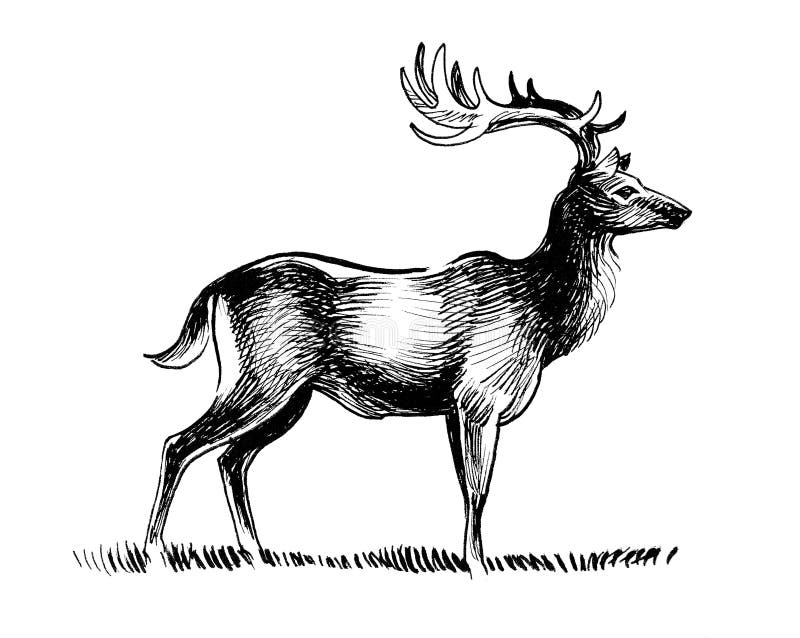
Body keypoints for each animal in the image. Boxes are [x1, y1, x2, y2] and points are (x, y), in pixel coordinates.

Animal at [143, 43, 691, 574]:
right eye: (622, 189)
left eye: (640, 179)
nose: (682, 210)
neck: (542, 315)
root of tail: (213, 291)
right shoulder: (477, 397)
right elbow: (477, 489)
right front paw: (477, 564)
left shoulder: (458, 406)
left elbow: (470, 487)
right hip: (262, 371)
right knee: (180, 443)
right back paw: (152, 550)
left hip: (291, 393)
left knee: (232, 458)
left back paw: (258, 552)